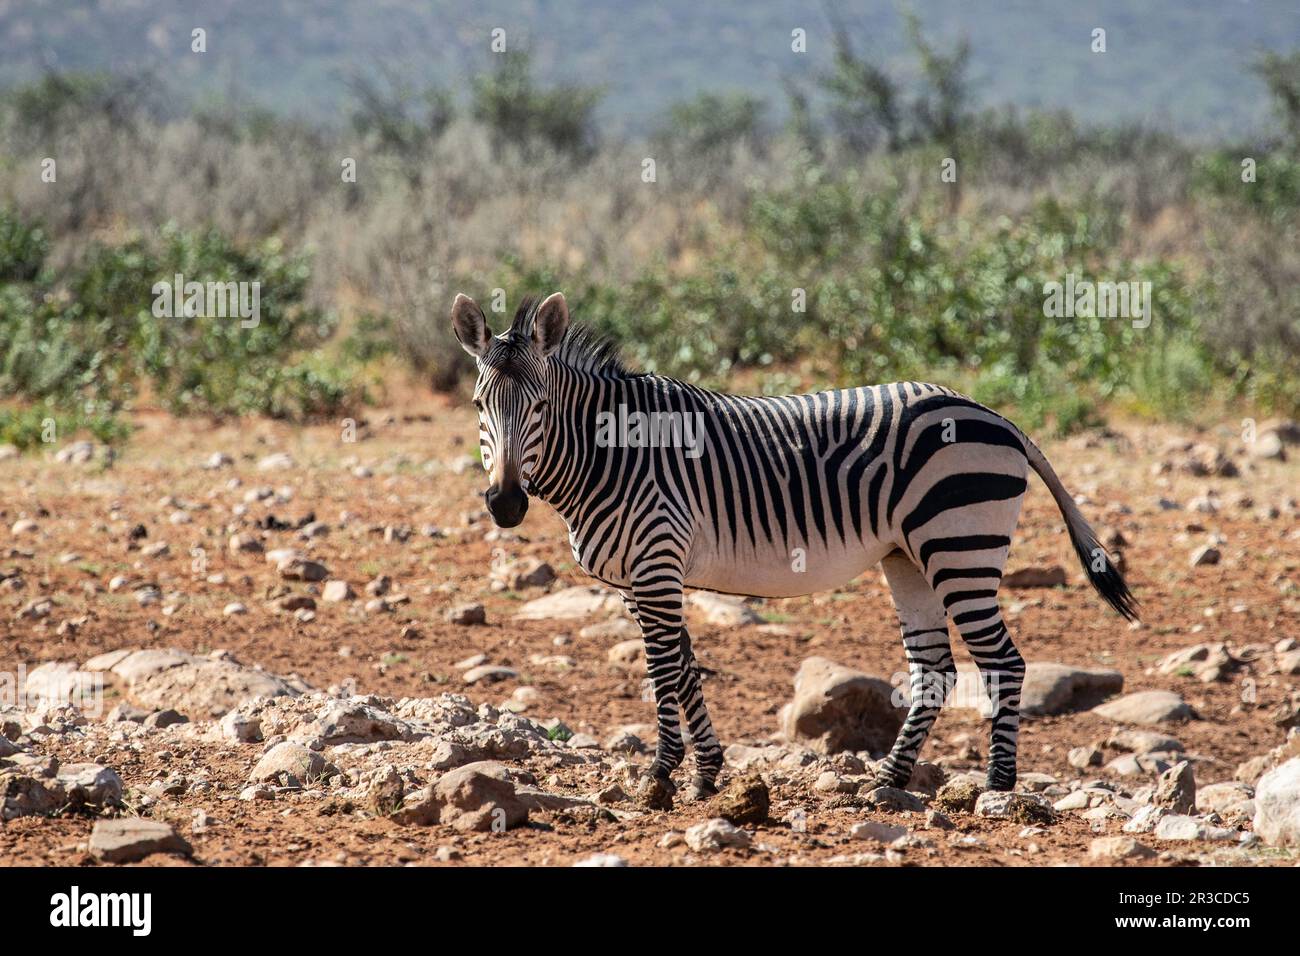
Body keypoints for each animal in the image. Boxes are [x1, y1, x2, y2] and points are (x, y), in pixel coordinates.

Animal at [451, 291, 1137, 802]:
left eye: (540, 405)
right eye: (480, 404)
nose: (506, 504)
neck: (612, 452)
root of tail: (996, 415)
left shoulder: (656, 565)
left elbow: (664, 669)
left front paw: (660, 776)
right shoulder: (642, 579)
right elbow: (685, 668)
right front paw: (706, 774)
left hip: (960, 546)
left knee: (1003, 661)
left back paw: (996, 786)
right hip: (909, 558)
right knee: (935, 669)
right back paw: (887, 782)